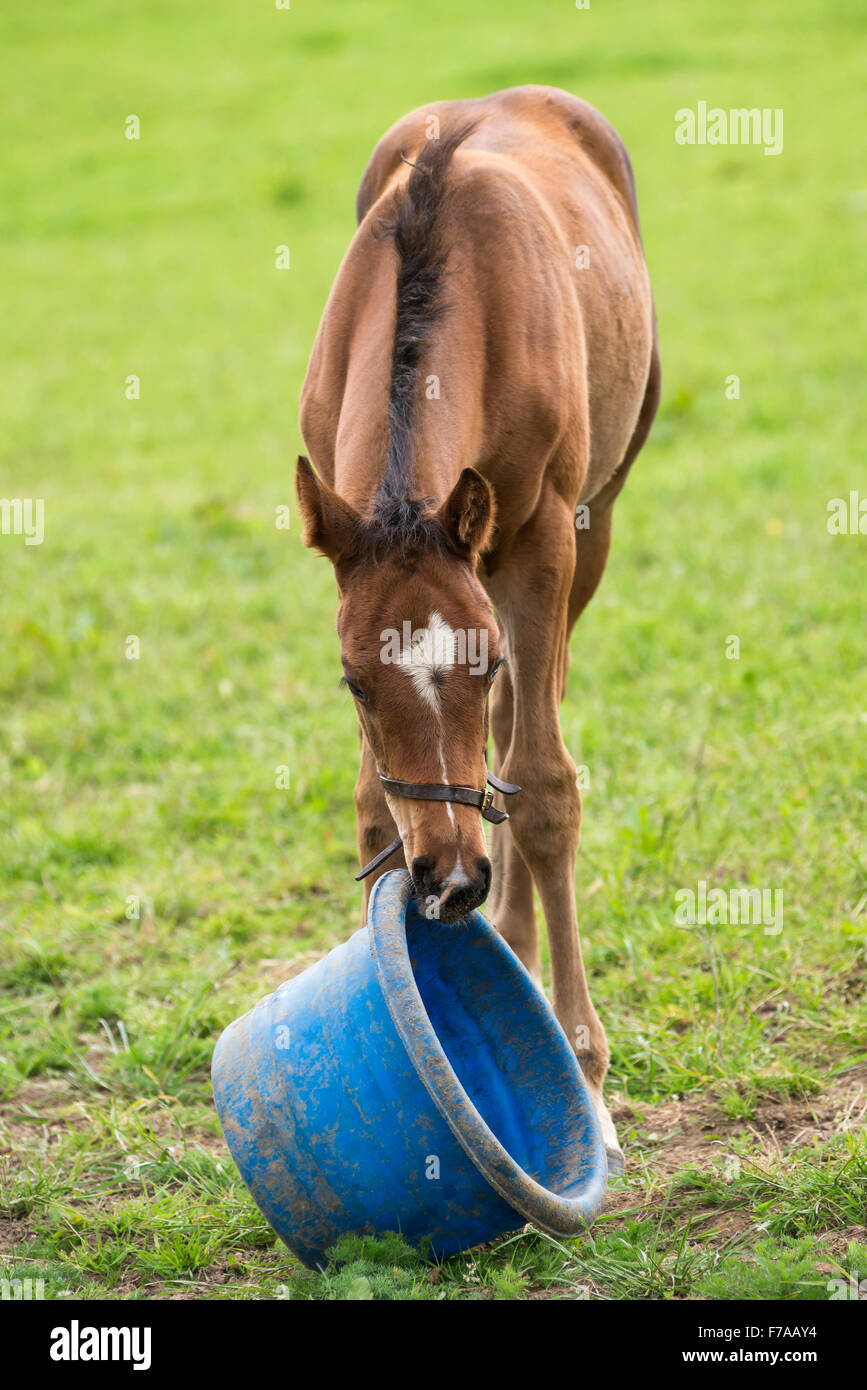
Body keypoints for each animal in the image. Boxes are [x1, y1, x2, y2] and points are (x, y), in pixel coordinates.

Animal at [296, 85, 660, 1171]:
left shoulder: (538, 541)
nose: (452, 879)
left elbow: (543, 788)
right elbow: (377, 808)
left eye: (483, 660)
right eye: (352, 682)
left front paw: (586, 1079)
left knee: (523, 745)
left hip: (589, 529)